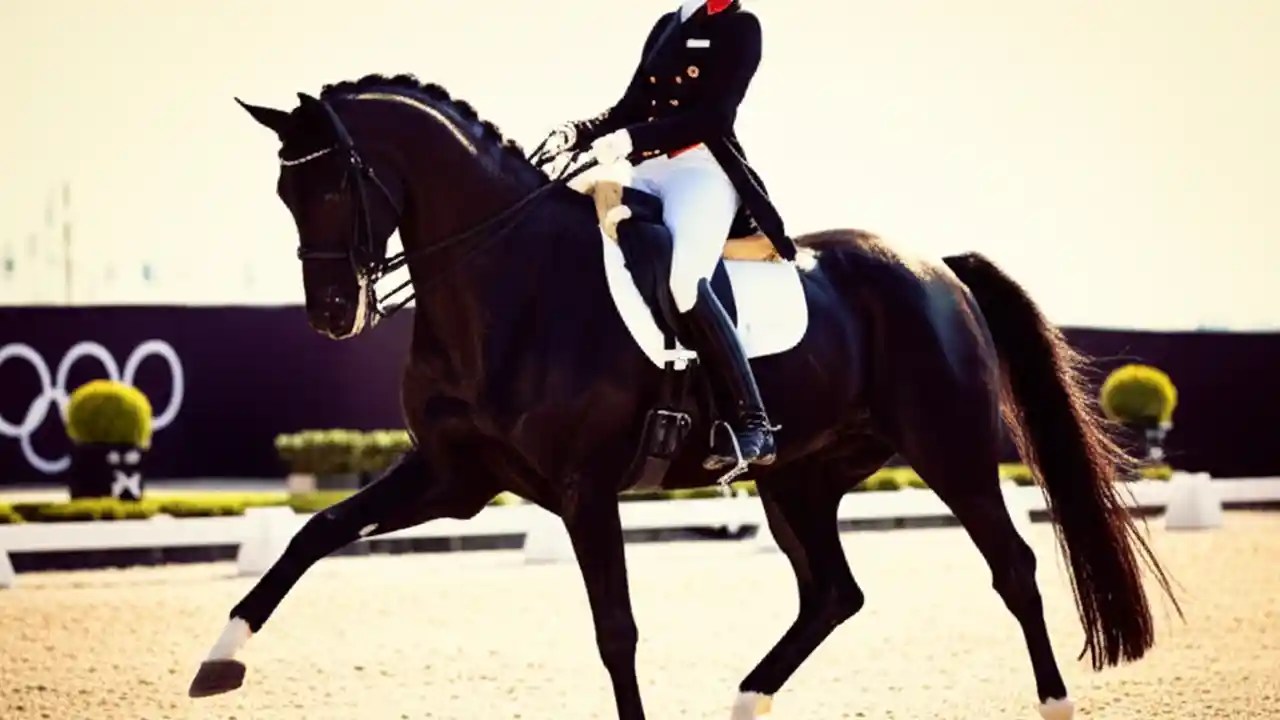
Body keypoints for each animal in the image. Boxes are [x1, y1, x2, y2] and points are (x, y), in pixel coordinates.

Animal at [190, 73, 1178, 719]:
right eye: (284, 188)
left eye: (335, 181)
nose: (332, 314)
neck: (507, 280)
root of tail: (936, 267)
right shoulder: (454, 479)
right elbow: (317, 531)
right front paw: (218, 662)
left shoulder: (584, 489)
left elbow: (615, 631)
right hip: (800, 476)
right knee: (833, 594)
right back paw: (743, 704)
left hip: (951, 450)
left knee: (1012, 568)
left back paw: (1051, 705)